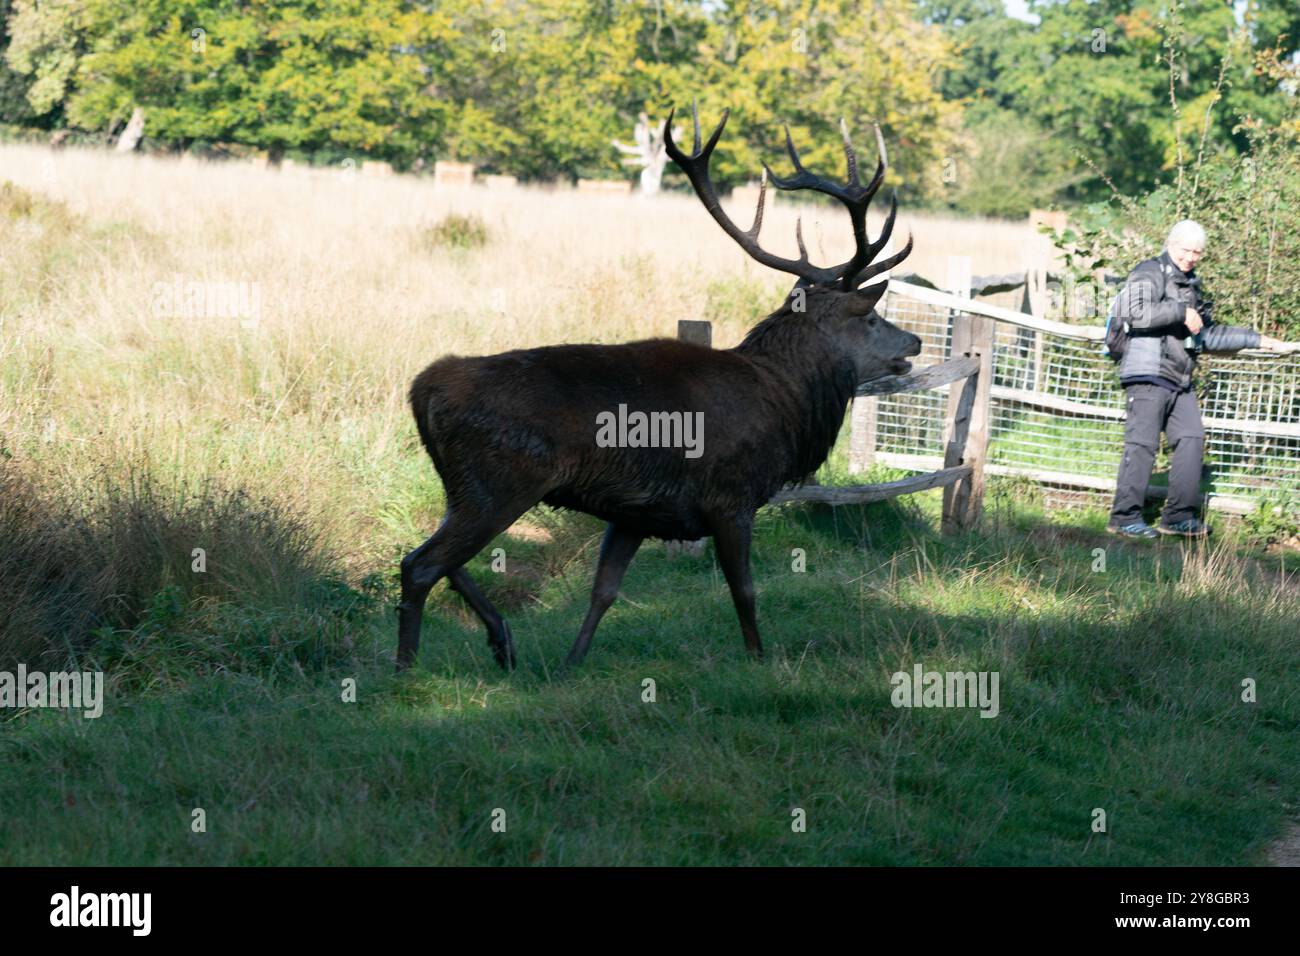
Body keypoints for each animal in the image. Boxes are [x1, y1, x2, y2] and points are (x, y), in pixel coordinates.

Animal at [398, 106, 921, 671]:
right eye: (870, 317)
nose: (914, 340)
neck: (788, 404)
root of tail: (424, 389)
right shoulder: (731, 496)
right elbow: (744, 591)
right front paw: (760, 660)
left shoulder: (633, 511)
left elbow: (603, 591)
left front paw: (572, 663)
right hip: (501, 480)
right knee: (420, 564)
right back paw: (407, 668)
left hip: (461, 486)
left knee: (438, 558)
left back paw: (502, 640)